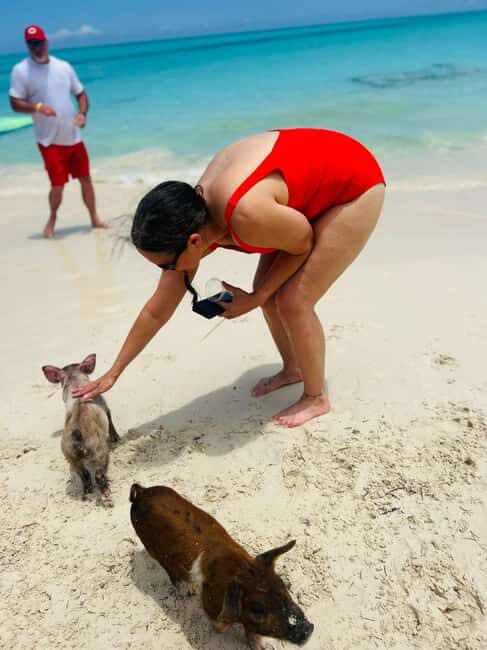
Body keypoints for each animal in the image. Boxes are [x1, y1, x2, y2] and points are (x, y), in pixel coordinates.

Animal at [42, 353, 119, 506]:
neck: (75, 382)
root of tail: (77, 435)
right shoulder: (105, 405)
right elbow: (110, 419)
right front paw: (116, 438)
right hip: (100, 451)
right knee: (98, 475)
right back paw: (107, 495)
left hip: (70, 456)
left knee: (85, 475)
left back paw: (86, 494)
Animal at [129, 483, 314, 649]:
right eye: (257, 609)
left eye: (284, 588)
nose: (308, 629)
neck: (236, 570)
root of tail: (141, 492)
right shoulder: (209, 605)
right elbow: (222, 627)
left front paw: (262, 647)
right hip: (152, 548)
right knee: (170, 572)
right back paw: (188, 591)